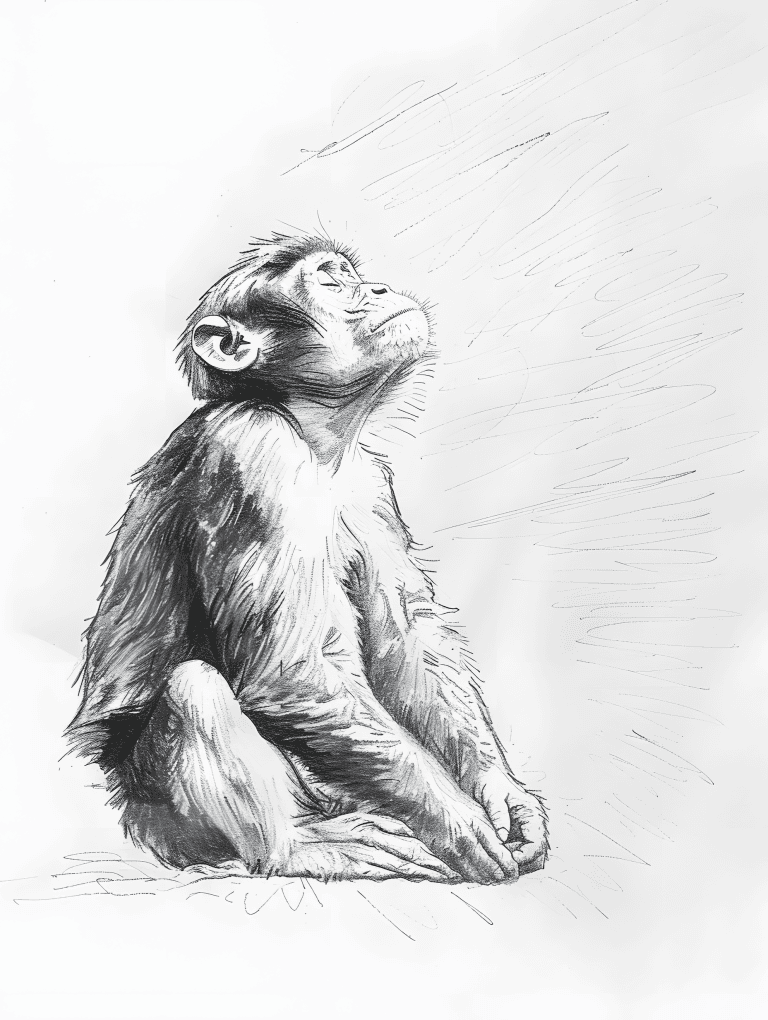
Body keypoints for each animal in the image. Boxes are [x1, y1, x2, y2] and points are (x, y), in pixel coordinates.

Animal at [66, 233, 548, 884]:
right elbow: (288, 670)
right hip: (166, 825)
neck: (311, 432)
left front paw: (504, 796)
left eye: (349, 273)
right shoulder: (251, 453)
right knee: (195, 690)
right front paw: (459, 821)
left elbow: (409, 638)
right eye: (330, 279)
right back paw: (293, 846)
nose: (376, 288)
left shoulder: (370, 483)